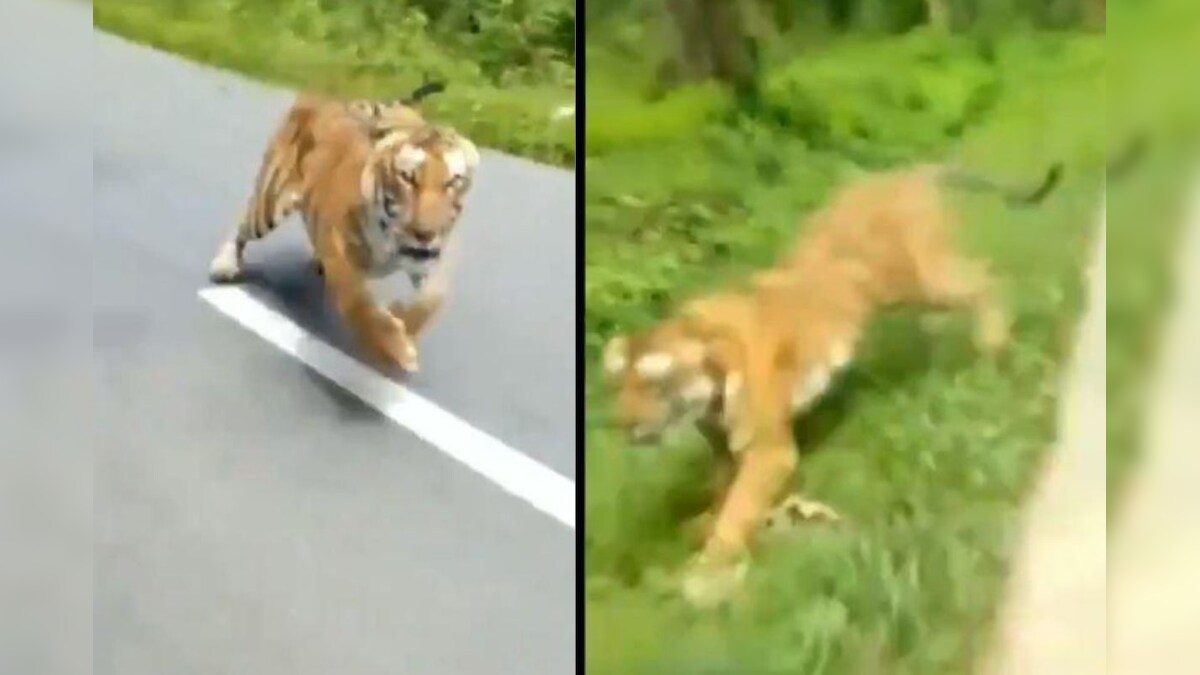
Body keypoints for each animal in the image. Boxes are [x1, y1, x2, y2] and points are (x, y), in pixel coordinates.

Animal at [207, 82, 480, 373]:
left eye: (453, 182)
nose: (425, 233)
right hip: (269, 203)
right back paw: (224, 266)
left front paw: (404, 320)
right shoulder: (339, 248)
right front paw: (397, 346)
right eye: (408, 178)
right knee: (243, 222)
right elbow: (359, 303)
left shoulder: (439, 256)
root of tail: (319, 94)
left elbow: (432, 299)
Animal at [600, 160, 1063, 607]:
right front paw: (708, 528)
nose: (625, 425)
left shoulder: (768, 451)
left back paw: (993, 346)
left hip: (926, 277)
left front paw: (706, 576)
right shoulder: (723, 451)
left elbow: (736, 510)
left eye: (656, 382)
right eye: (620, 386)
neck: (709, 395)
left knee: (987, 279)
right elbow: (725, 497)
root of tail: (905, 172)